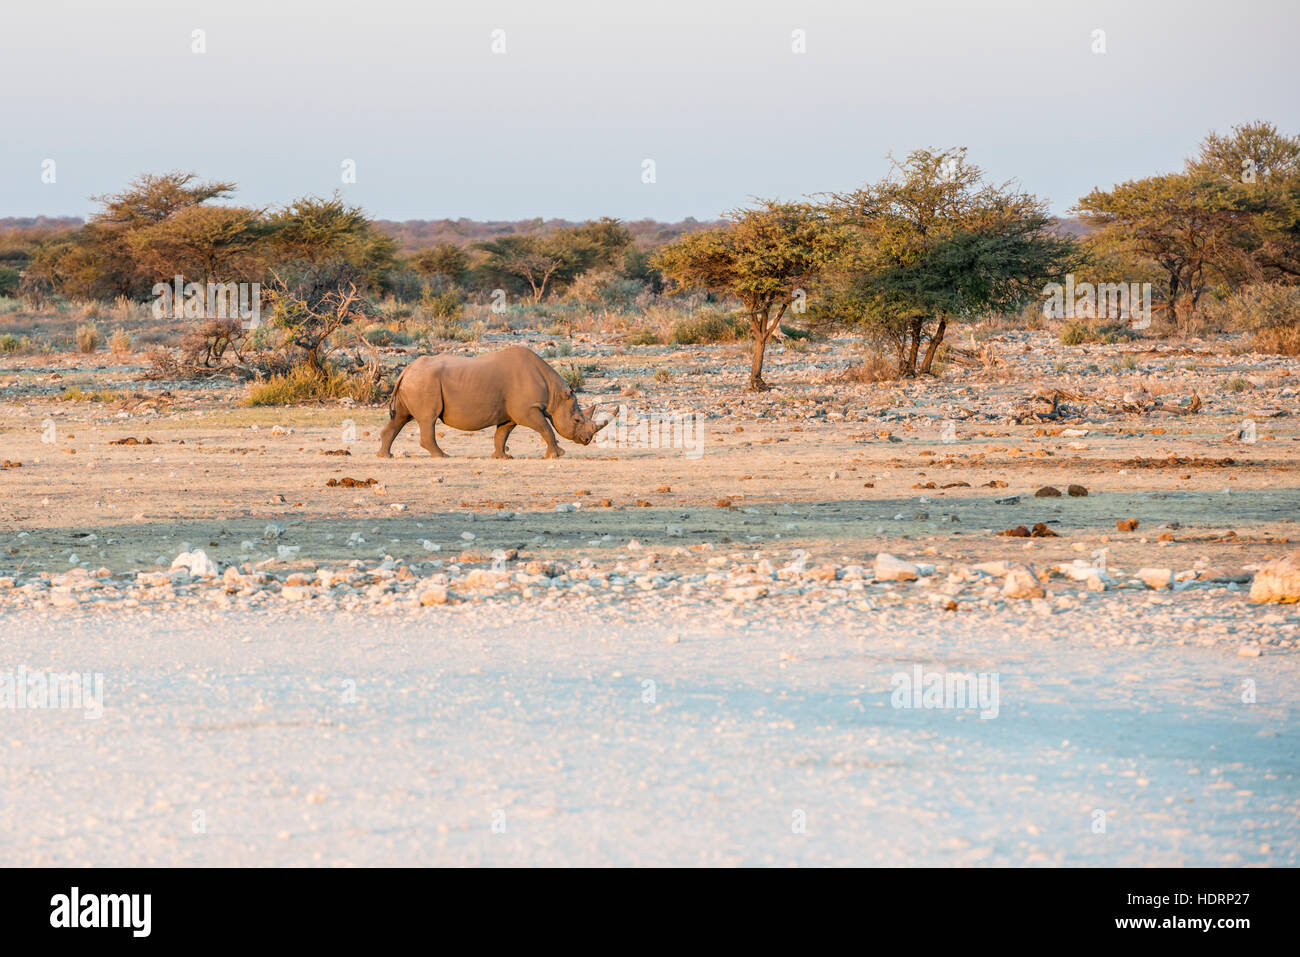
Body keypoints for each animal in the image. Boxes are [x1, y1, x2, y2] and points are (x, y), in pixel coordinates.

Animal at [378, 346, 608, 459]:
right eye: (577, 420)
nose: (587, 440)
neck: (555, 395)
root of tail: (407, 369)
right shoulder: (527, 410)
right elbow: (546, 429)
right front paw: (558, 455)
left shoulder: (511, 413)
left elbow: (501, 434)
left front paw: (502, 457)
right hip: (424, 382)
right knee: (428, 419)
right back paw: (442, 456)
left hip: (416, 381)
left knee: (401, 417)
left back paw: (385, 456)